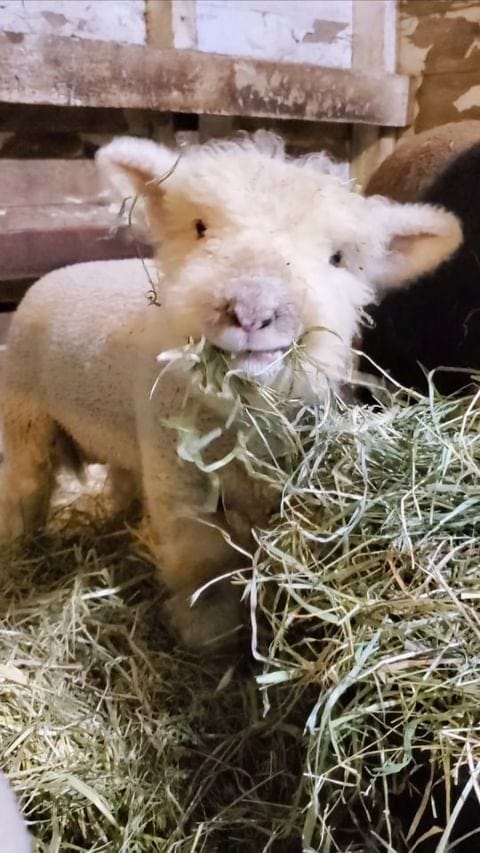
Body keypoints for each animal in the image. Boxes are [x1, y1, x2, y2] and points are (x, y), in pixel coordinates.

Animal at [0, 131, 461, 649]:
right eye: (200, 228)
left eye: (339, 258)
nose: (252, 313)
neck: (244, 414)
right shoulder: (181, 483)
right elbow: (205, 564)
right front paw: (210, 633)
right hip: (25, 415)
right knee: (25, 487)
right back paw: (20, 547)